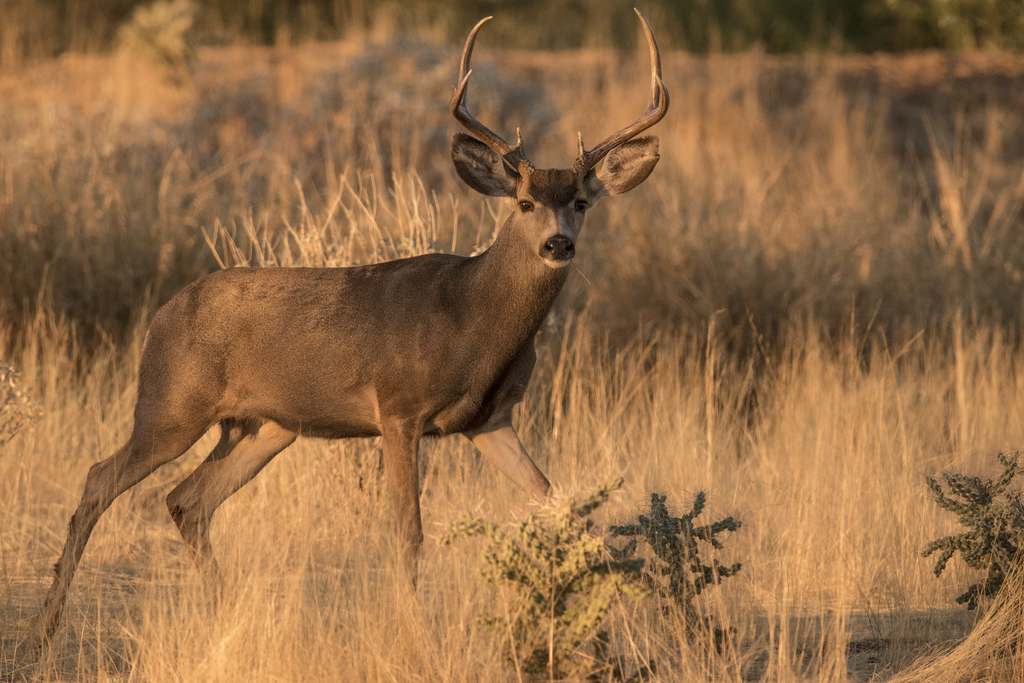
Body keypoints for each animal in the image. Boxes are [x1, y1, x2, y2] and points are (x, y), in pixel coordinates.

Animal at [33, 9, 668, 643]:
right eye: (524, 202)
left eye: (582, 201)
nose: (558, 244)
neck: (473, 320)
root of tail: (162, 315)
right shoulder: (399, 409)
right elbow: (409, 533)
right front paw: (415, 634)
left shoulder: (491, 420)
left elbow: (560, 506)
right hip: (171, 404)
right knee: (101, 479)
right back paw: (47, 626)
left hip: (263, 427)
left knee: (188, 499)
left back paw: (222, 614)